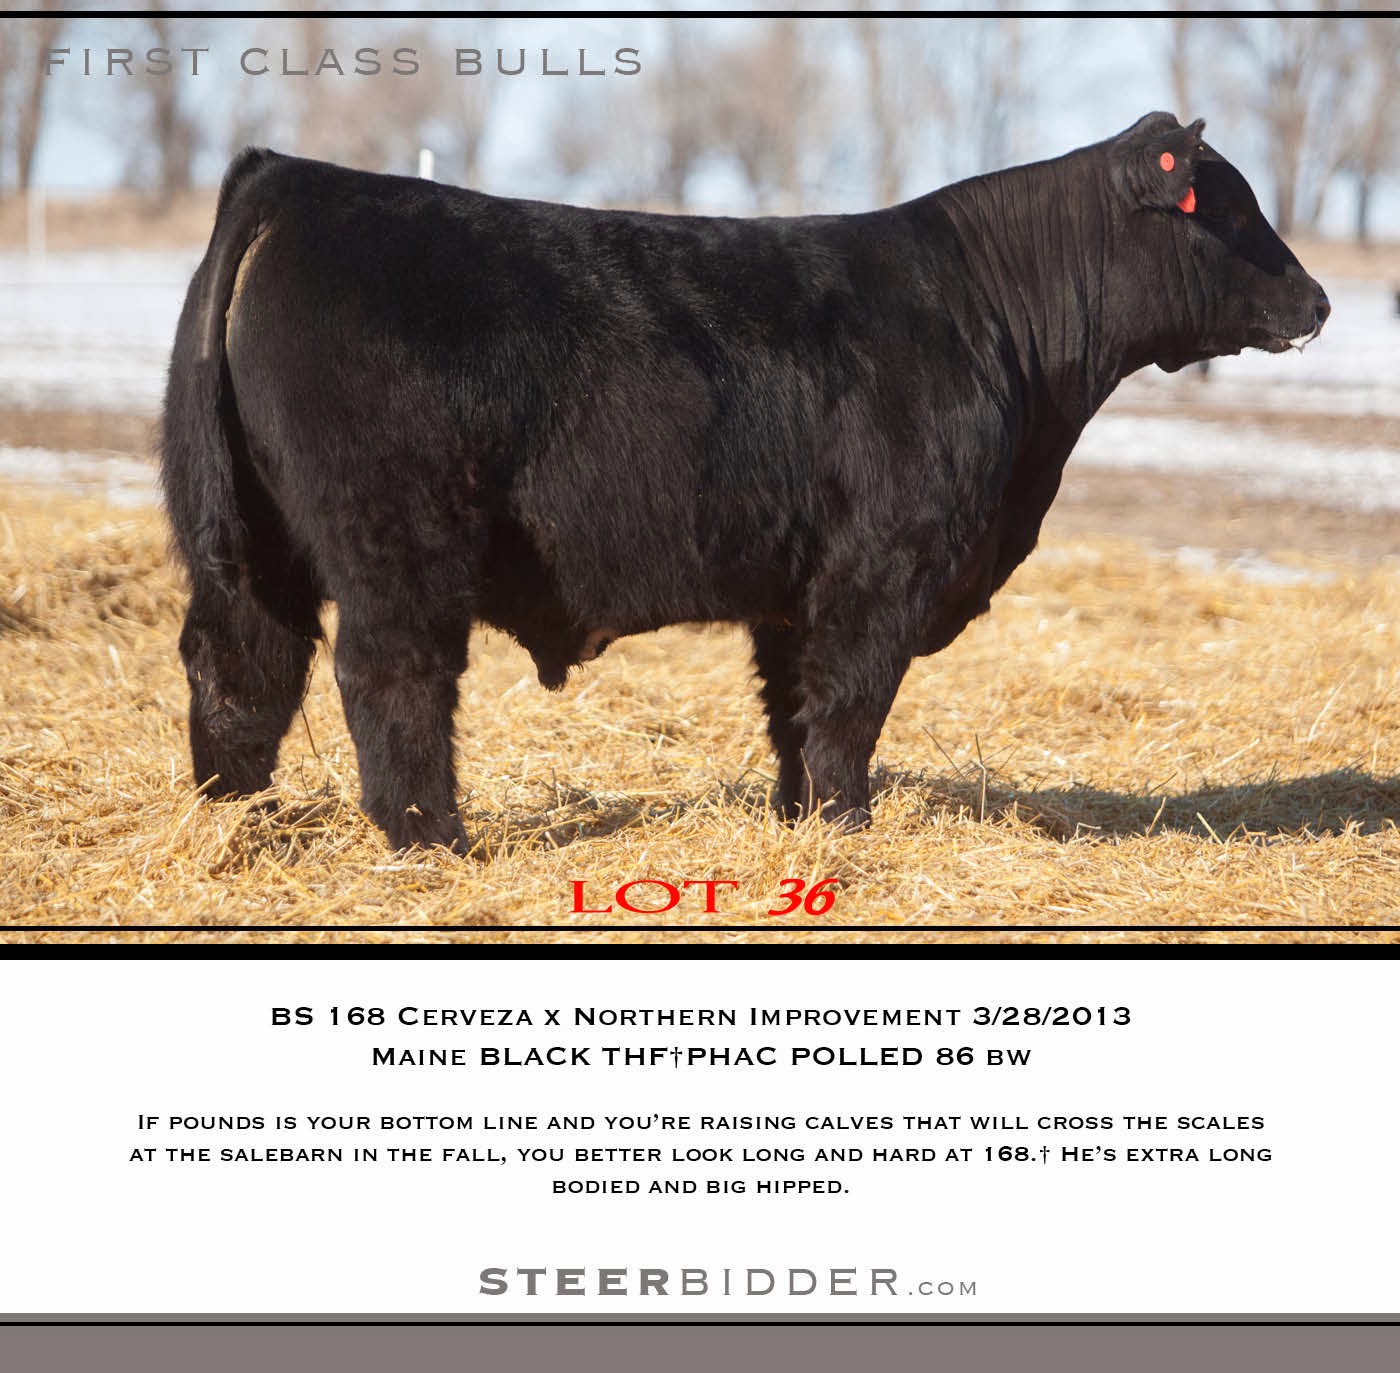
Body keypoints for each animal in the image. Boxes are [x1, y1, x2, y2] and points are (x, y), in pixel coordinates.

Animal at [160, 112, 1329, 853]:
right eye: (1225, 211)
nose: (1317, 300)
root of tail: (298, 176)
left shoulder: (793, 588)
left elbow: (794, 710)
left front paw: (802, 819)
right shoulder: (880, 566)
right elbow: (849, 703)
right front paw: (848, 828)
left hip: (249, 542)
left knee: (240, 662)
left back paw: (237, 818)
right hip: (393, 541)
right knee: (388, 673)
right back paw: (431, 838)